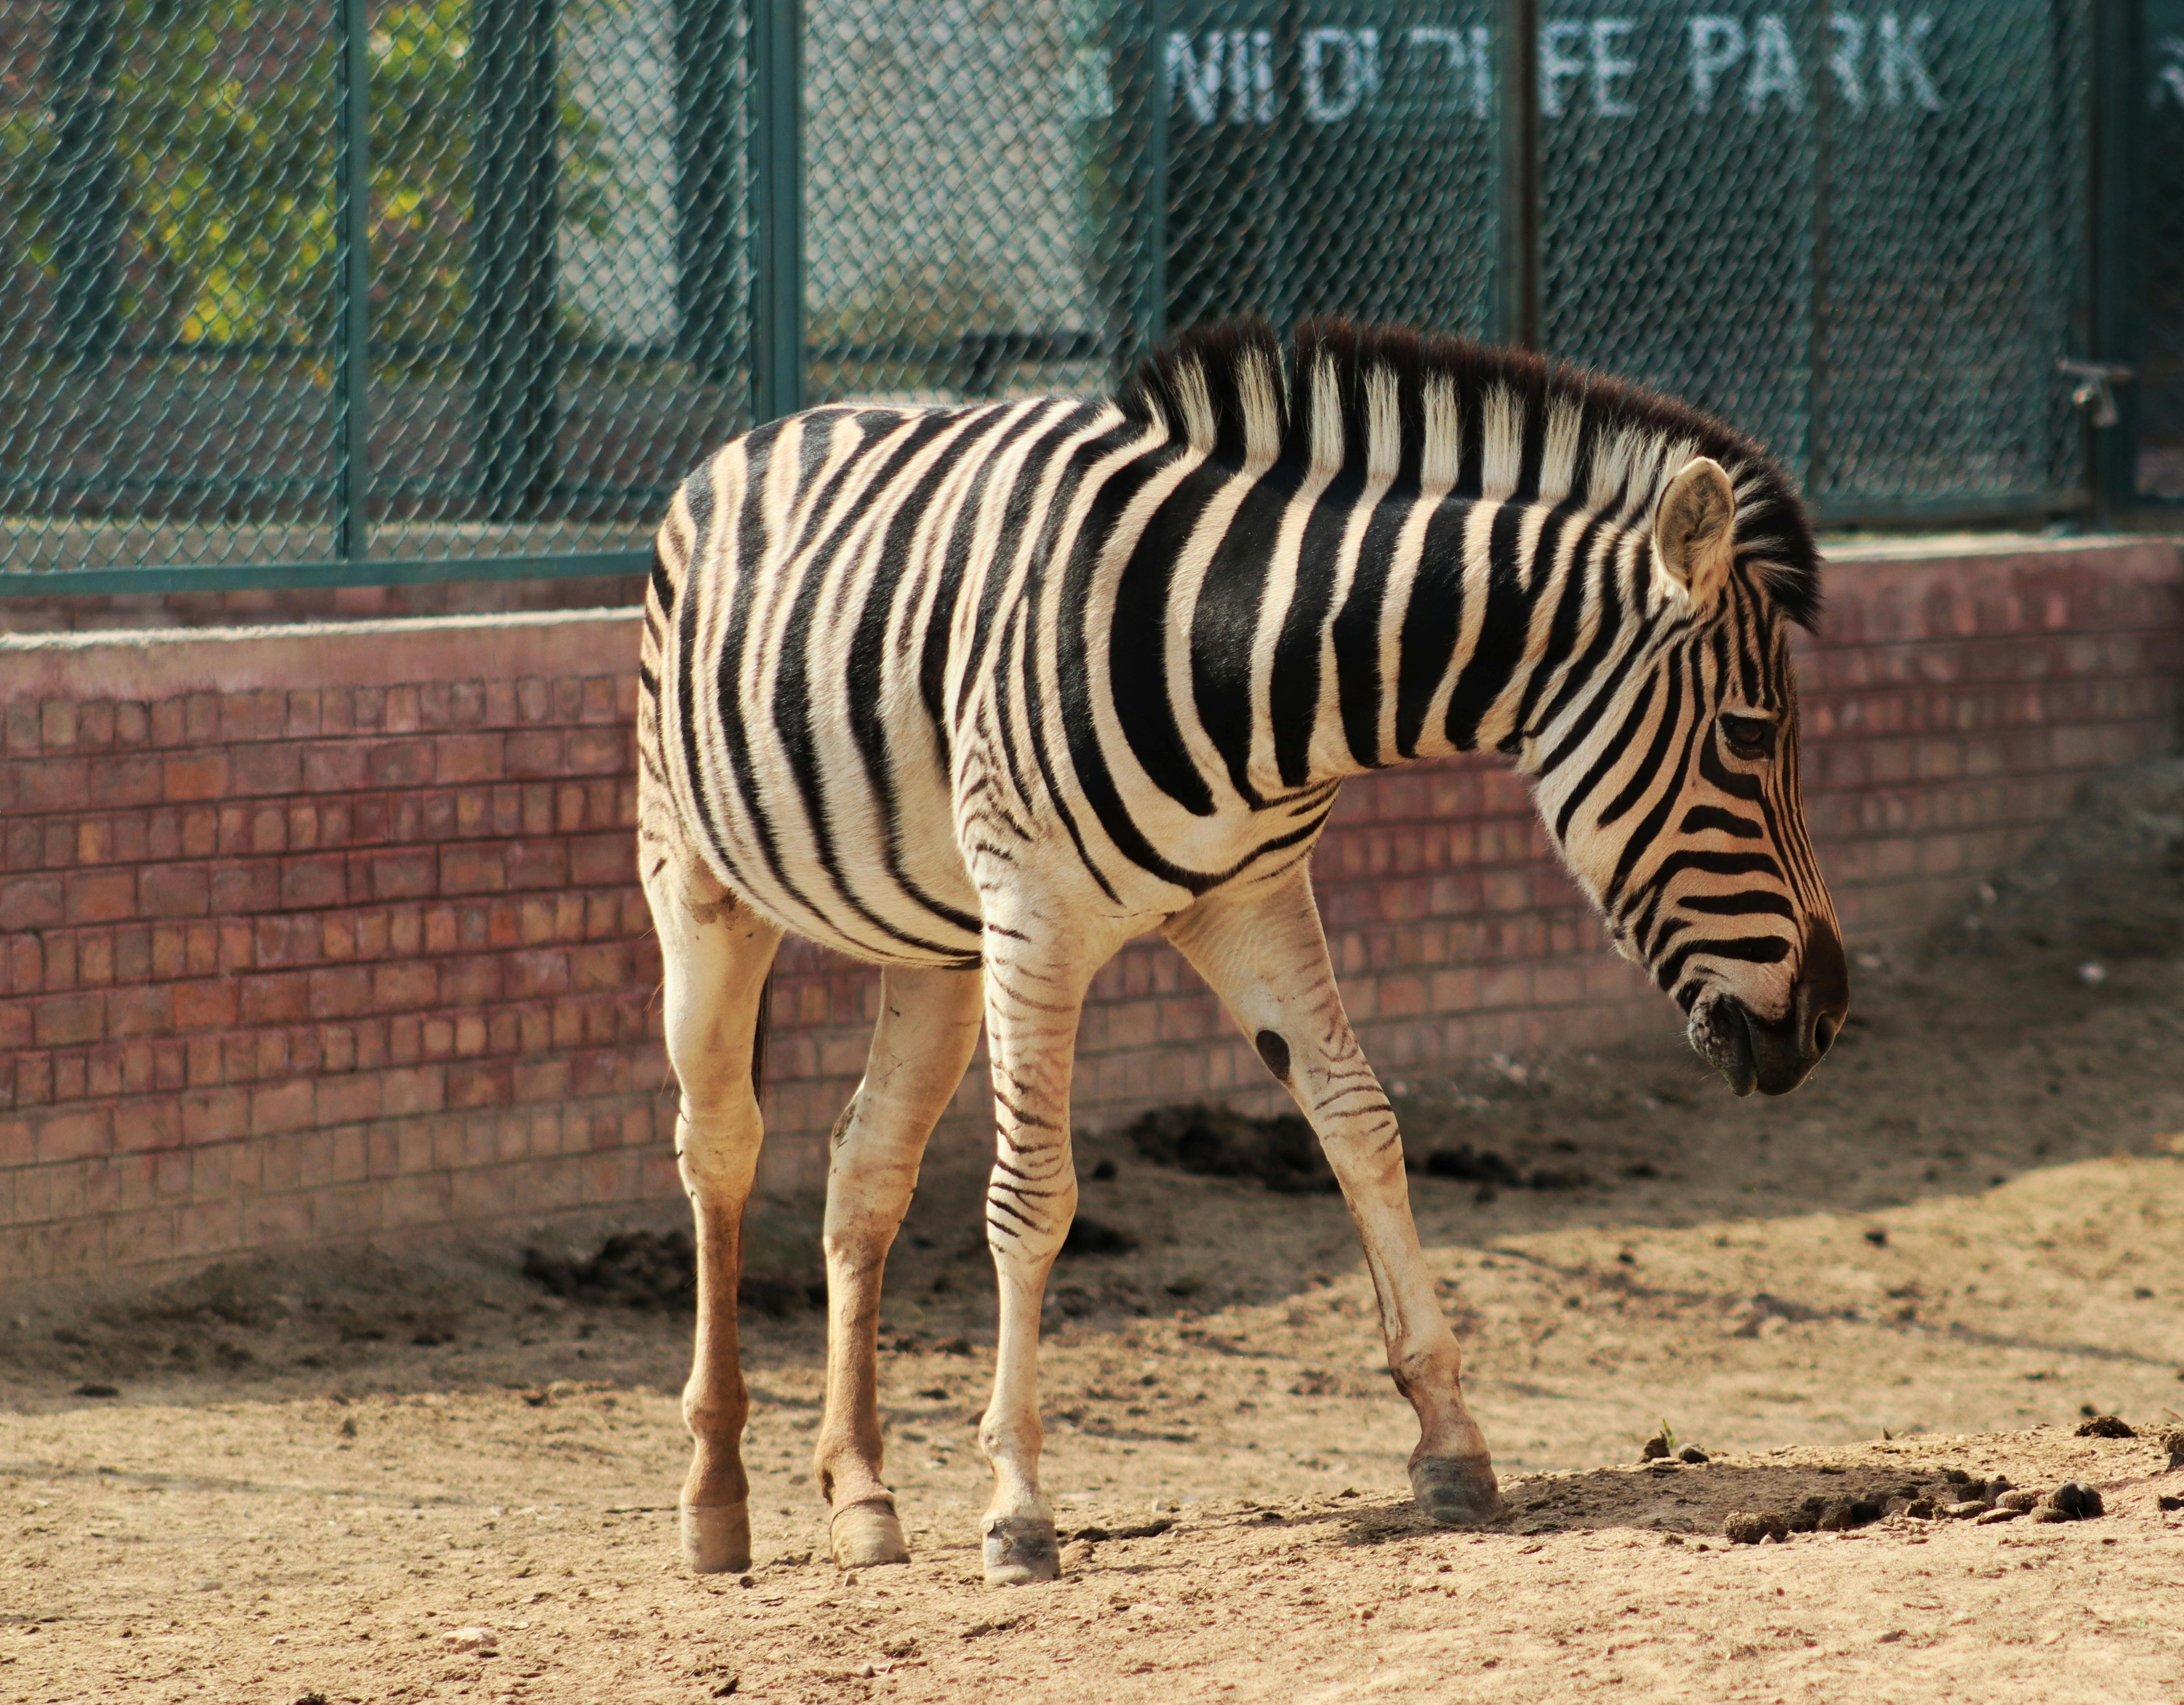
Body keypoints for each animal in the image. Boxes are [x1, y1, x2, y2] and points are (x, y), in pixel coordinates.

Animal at [634, 316, 1848, 1588]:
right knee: (720, 1147)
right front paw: (1016, 1509)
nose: (1825, 1015)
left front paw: (1450, 1444)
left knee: (865, 1166)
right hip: (701, 885)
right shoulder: (1036, 915)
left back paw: (862, 1497)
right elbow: (1033, 1193)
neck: (1248, 655)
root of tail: (771, 430)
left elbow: (1362, 1127)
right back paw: (714, 1501)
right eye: (1748, 735)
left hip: (938, 946)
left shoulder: (1252, 899)